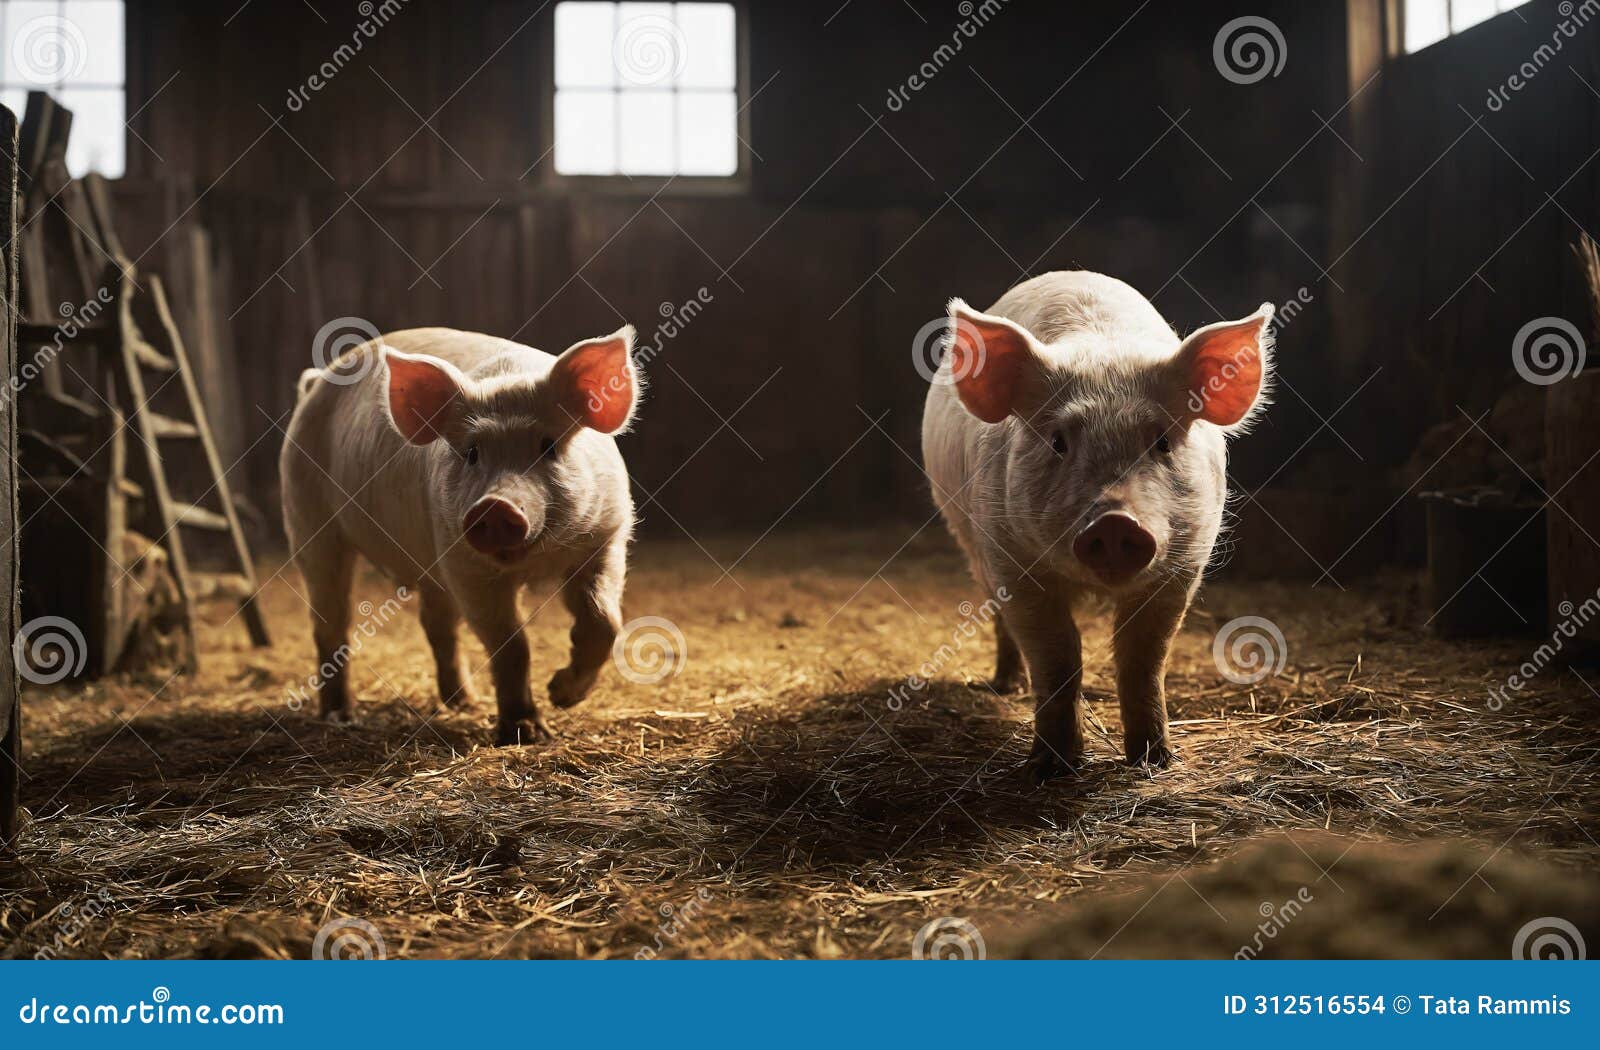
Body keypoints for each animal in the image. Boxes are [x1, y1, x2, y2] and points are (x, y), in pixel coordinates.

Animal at [280, 325, 640, 745]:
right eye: (472, 453)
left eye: (548, 446)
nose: (495, 506)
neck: (533, 561)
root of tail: (314, 383)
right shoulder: (465, 564)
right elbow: (511, 645)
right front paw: (528, 732)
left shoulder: (607, 536)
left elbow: (604, 620)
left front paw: (562, 696)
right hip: (310, 524)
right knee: (330, 625)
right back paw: (341, 716)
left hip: (429, 562)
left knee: (437, 624)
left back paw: (465, 703)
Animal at [921, 271, 1274, 785]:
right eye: (1058, 441)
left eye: (1162, 441)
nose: (1114, 521)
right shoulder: (1011, 560)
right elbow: (1057, 655)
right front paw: (1051, 767)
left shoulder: (1183, 566)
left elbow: (1143, 659)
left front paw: (1155, 760)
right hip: (967, 538)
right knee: (998, 617)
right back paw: (1005, 685)